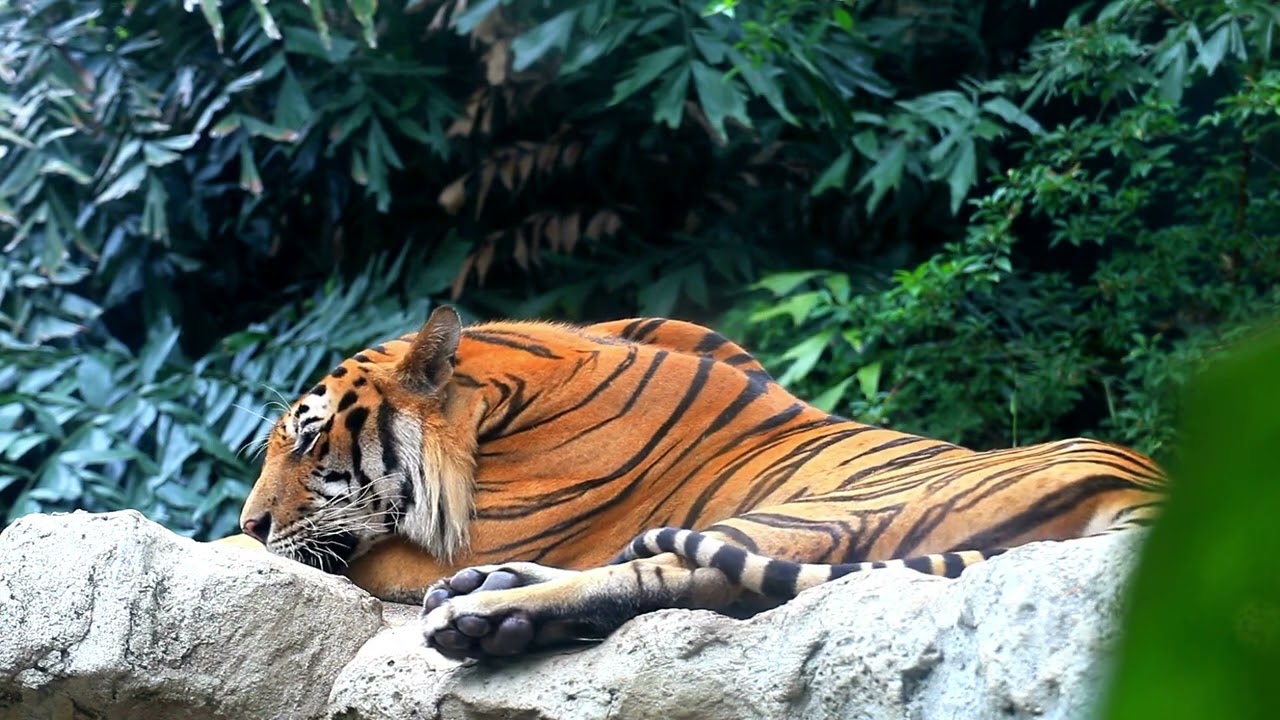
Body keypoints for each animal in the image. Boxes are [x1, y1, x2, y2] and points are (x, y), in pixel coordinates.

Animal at [236, 305, 1165, 660]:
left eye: (308, 439)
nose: (250, 526)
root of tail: (1153, 490)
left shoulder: (454, 538)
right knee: (695, 579)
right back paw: (493, 599)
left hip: (822, 509)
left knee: (680, 574)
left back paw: (485, 615)